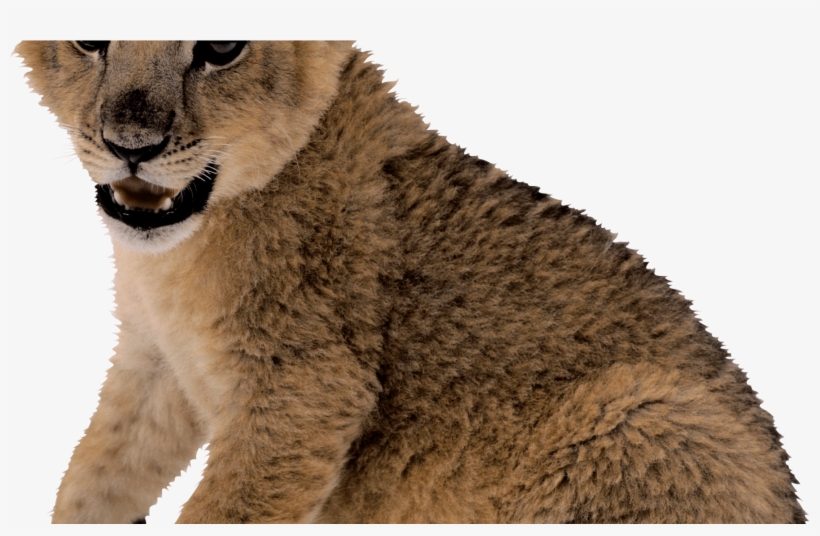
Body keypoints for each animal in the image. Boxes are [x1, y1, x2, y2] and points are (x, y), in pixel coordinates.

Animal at [16, 40, 805, 523]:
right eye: (90, 40)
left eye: (222, 48)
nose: (130, 148)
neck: (178, 257)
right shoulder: (155, 357)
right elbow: (98, 472)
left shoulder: (308, 389)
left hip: (647, 416)